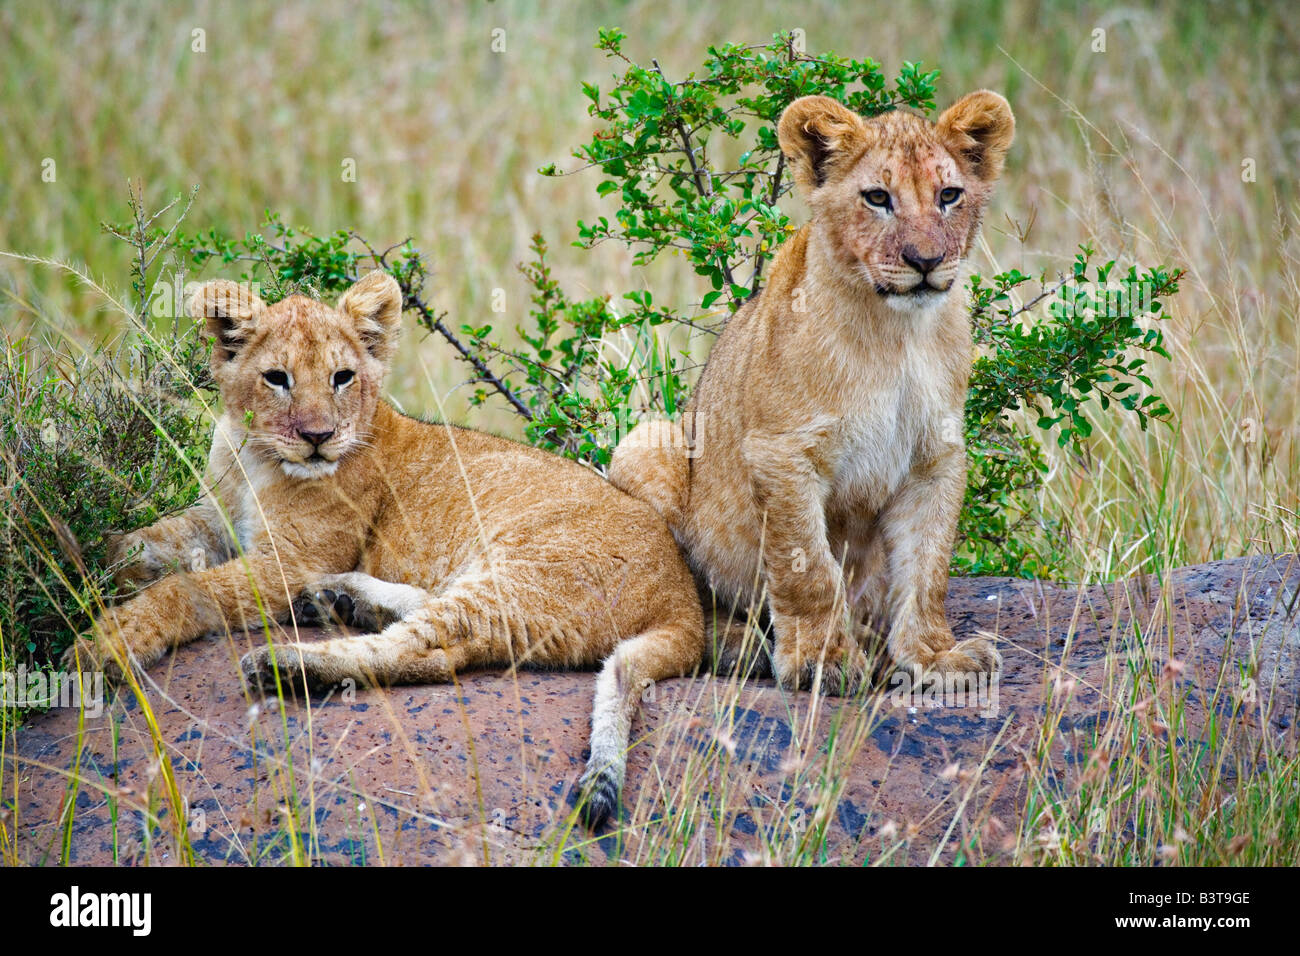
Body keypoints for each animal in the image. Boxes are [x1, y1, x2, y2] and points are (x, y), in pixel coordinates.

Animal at [65, 271, 704, 827]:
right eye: (277, 378)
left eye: (343, 377)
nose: (318, 438)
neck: (256, 457)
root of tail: (685, 598)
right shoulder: (215, 522)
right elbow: (140, 545)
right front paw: (83, 558)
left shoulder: (293, 561)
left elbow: (184, 589)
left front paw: (106, 642)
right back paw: (338, 601)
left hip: (522, 572)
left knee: (432, 651)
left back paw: (288, 663)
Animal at [608, 91, 1015, 694]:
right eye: (877, 197)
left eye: (949, 195)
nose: (925, 261)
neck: (897, 336)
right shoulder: (783, 453)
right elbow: (808, 567)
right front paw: (822, 660)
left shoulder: (935, 458)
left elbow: (928, 569)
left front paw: (934, 658)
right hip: (647, 443)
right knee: (685, 602)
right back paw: (744, 646)